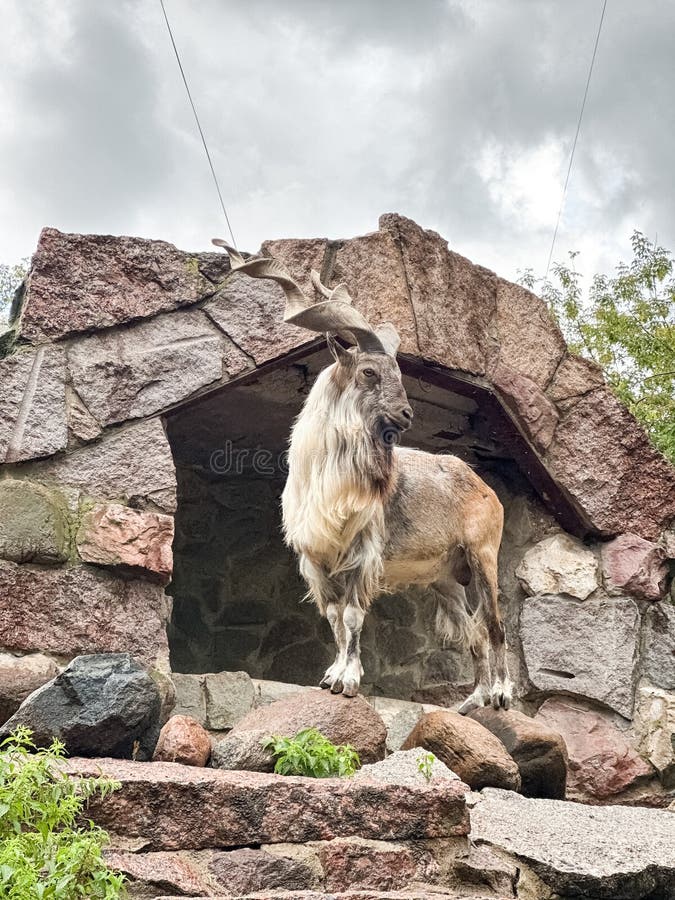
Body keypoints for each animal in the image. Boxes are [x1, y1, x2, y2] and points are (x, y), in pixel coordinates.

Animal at [213, 240, 513, 712]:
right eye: (369, 372)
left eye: (399, 374)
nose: (407, 414)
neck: (326, 483)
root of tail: (488, 491)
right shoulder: (318, 560)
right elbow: (335, 619)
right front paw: (331, 676)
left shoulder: (361, 552)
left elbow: (353, 616)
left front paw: (348, 680)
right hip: (446, 578)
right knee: (475, 631)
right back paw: (469, 704)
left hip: (483, 556)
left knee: (496, 624)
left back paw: (502, 694)